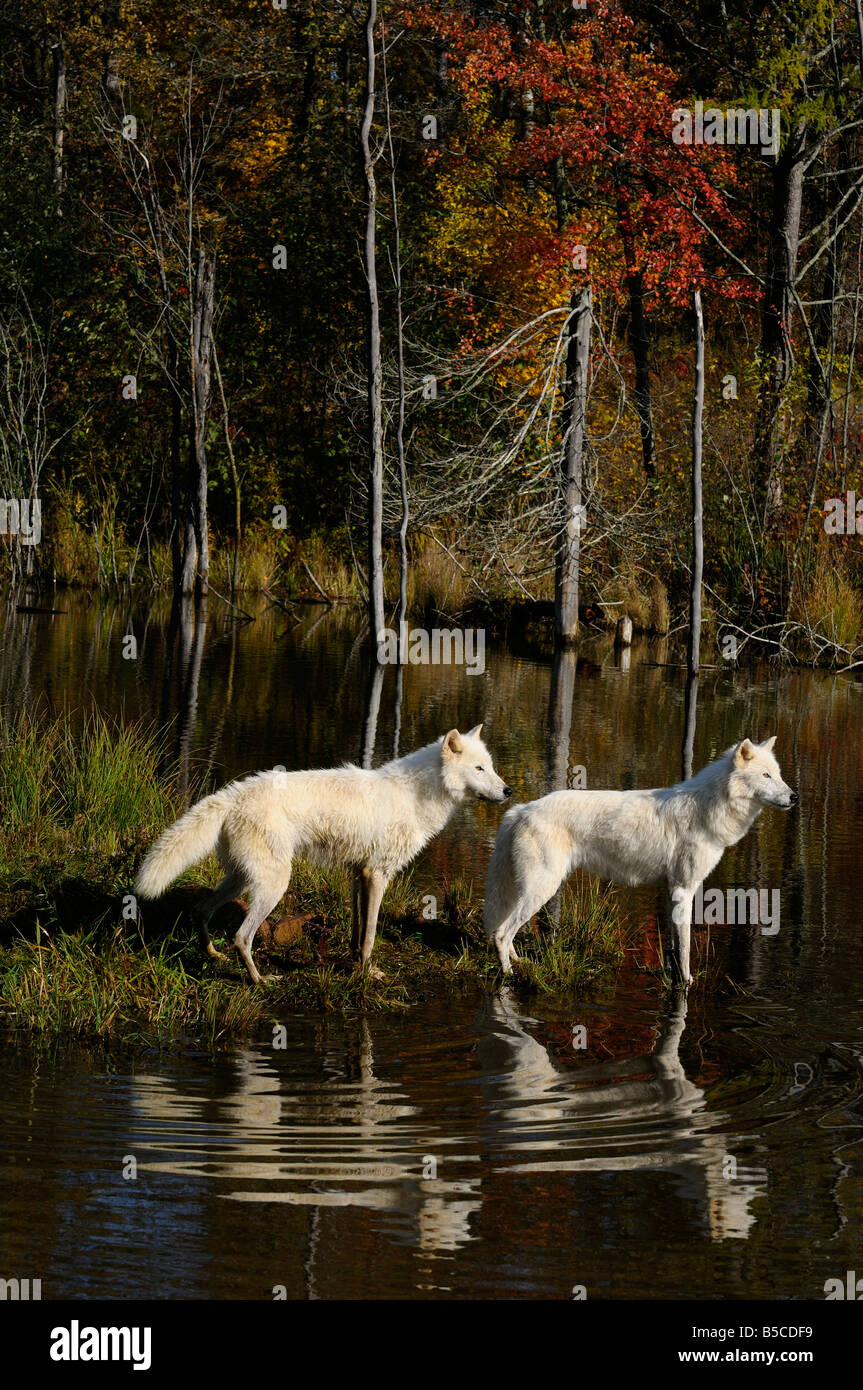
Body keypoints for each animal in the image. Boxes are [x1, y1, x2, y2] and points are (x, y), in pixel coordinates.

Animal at [135, 725, 511, 983]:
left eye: (491, 767)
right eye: (479, 769)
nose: (508, 791)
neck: (415, 796)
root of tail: (232, 794)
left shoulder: (359, 874)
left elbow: (358, 932)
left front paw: (356, 964)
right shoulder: (377, 875)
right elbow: (371, 934)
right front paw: (369, 974)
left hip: (240, 880)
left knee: (201, 910)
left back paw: (214, 956)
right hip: (274, 885)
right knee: (241, 937)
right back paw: (259, 980)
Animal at [484, 737, 797, 985]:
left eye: (778, 774)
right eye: (766, 775)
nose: (795, 797)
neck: (708, 808)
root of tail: (522, 809)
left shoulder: (673, 891)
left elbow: (674, 944)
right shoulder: (684, 890)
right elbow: (685, 948)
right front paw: (686, 982)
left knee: (506, 933)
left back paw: (521, 963)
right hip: (542, 889)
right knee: (501, 933)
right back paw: (509, 975)